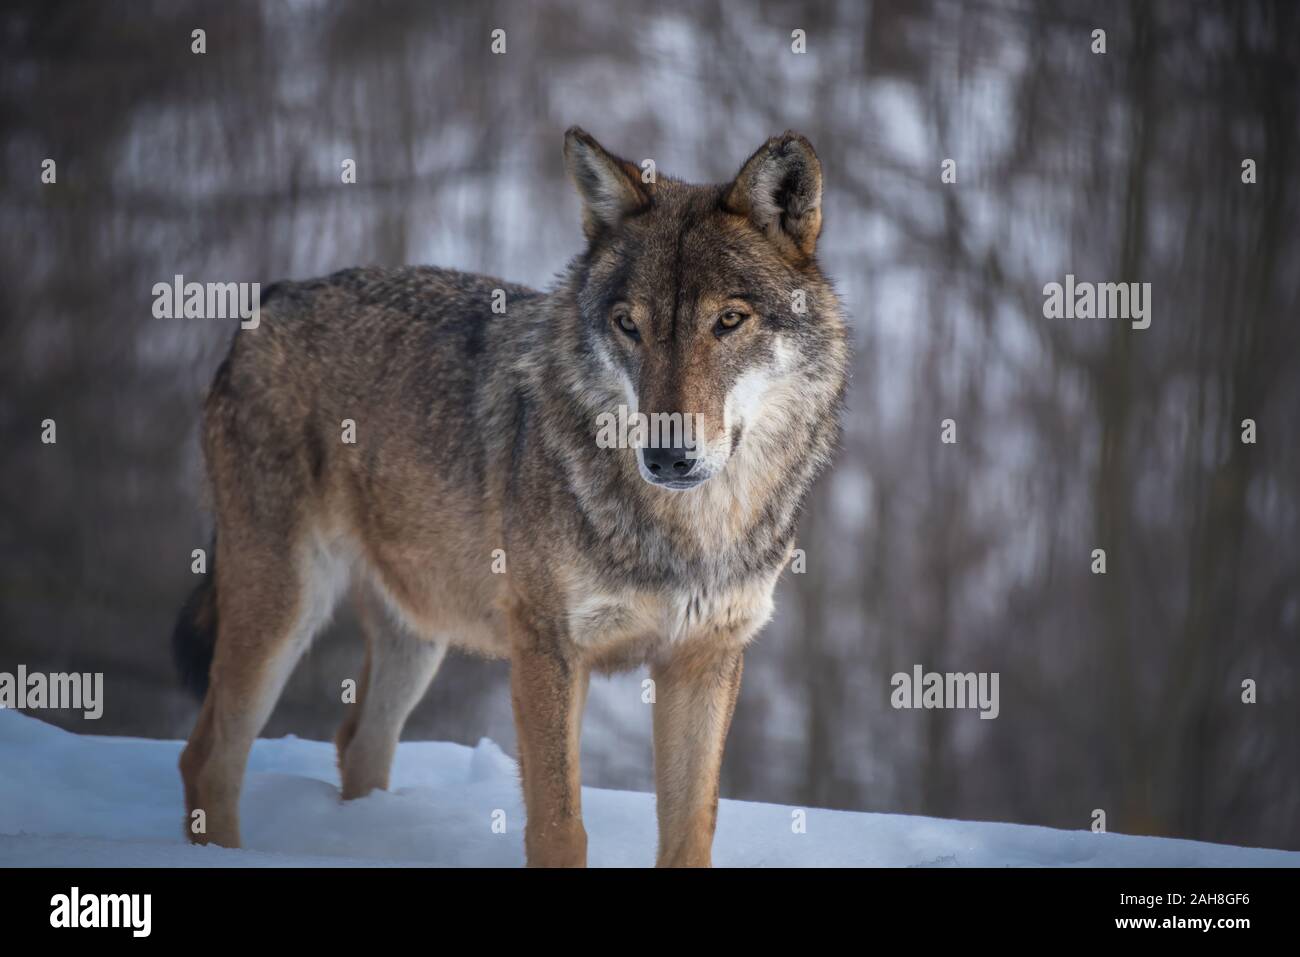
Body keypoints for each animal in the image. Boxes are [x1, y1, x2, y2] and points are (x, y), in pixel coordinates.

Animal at [173, 127, 848, 867]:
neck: (687, 531)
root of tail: (271, 296)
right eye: (629, 325)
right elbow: (558, 825)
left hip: (416, 635)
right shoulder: (547, 646)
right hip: (285, 603)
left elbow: (690, 829)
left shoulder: (703, 659)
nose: (667, 455)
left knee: (357, 744)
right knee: (207, 757)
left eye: (729, 321)